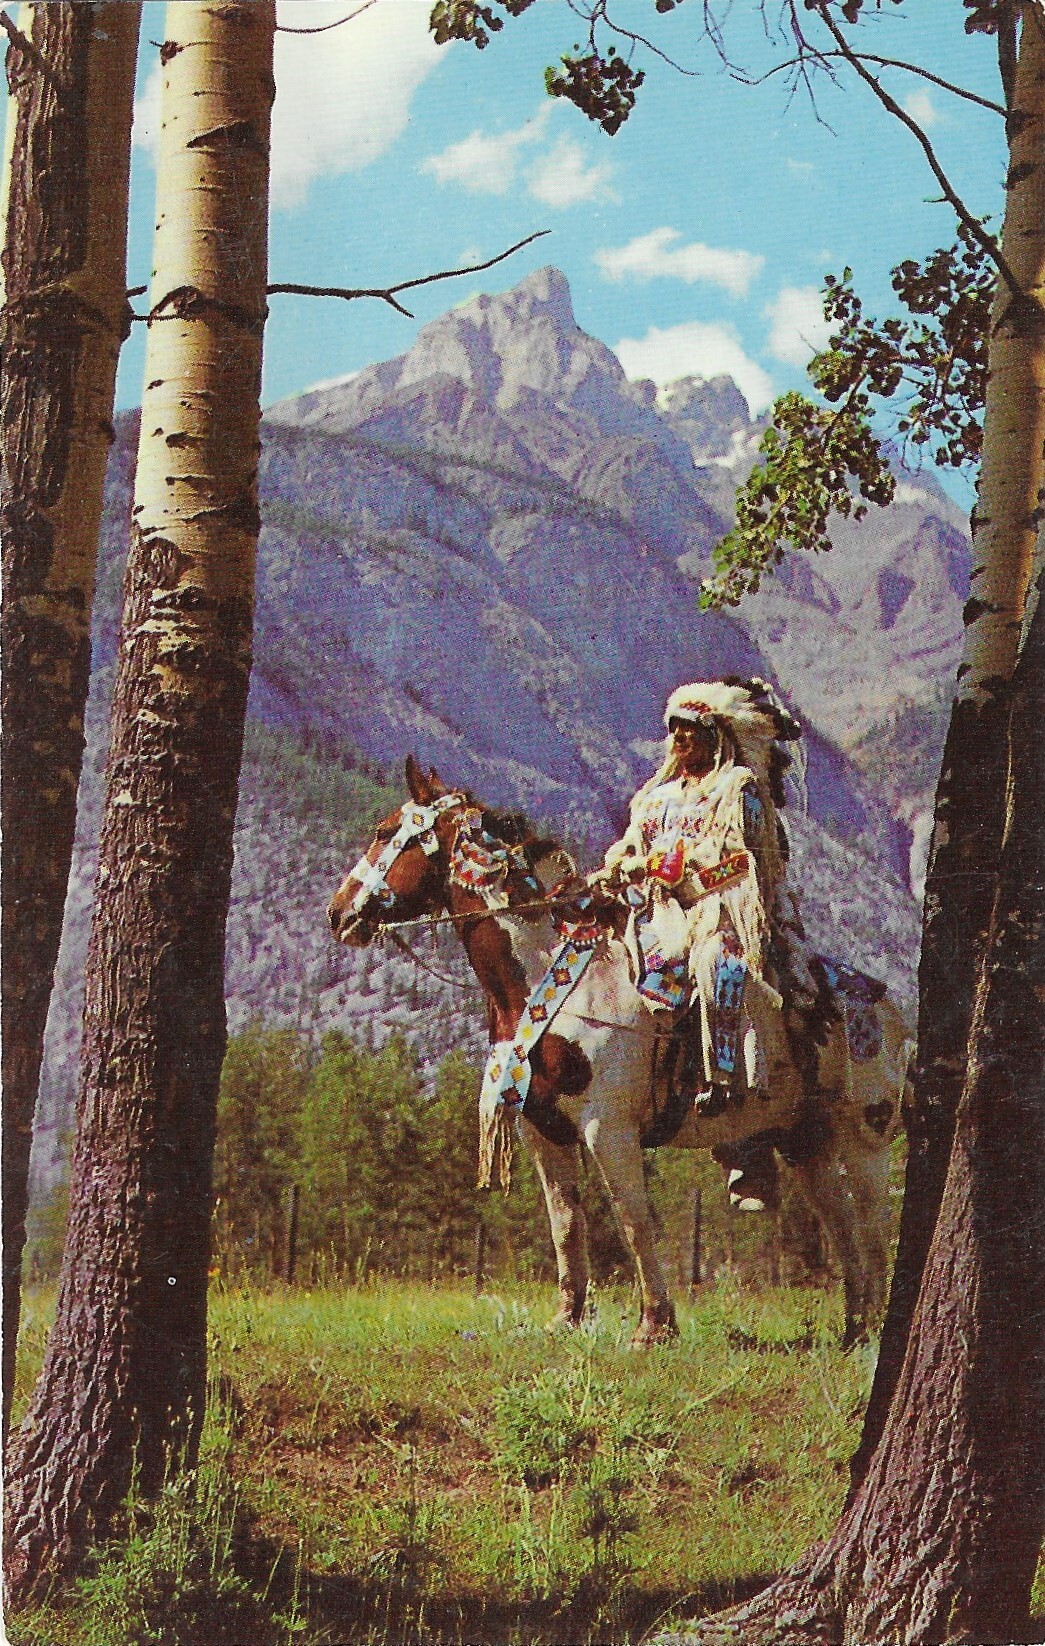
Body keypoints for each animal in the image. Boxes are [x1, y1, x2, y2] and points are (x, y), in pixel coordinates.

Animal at [327, 758, 913, 1347]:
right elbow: (566, 1224)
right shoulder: (544, 1129)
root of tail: (890, 1007)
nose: (339, 913)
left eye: (384, 831)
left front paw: (654, 1326)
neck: (557, 980)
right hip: (804, 1141)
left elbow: (635, 1222)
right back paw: (855, 1328)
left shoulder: (607, 1128)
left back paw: (872, 1333)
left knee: (872, 1225)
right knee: (840, 1225)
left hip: (863, 1139)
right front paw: (566, 1319)